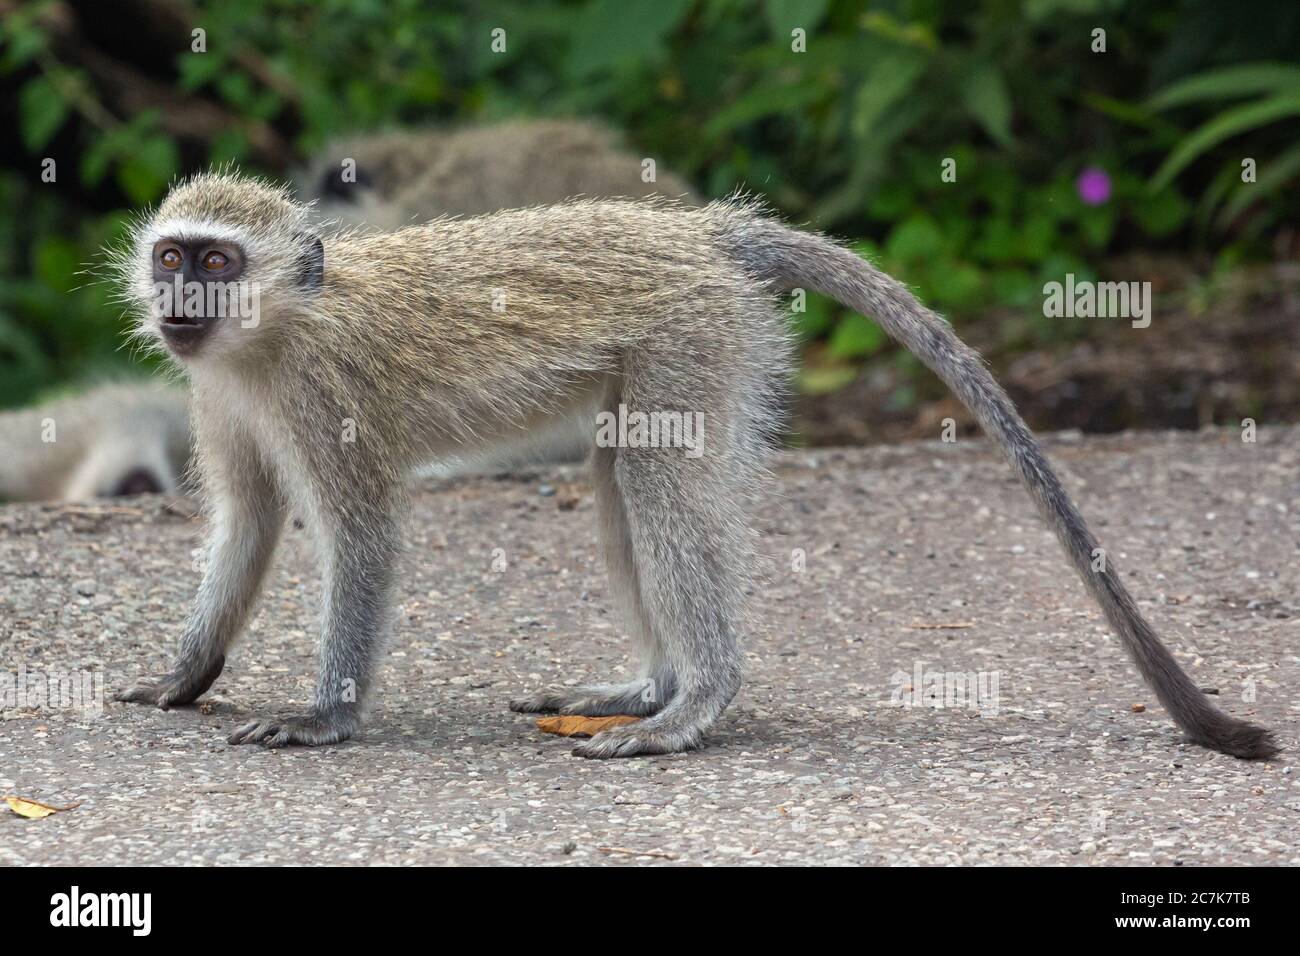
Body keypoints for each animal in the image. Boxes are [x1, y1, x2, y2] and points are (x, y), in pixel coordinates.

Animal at [110, 171, 1275, 761]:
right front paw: (183, 675)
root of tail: (704, 235)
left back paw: (695, 703)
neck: (271, 331)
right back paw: (650, 689)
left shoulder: (325, 395)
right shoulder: (216, 391)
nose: (182, 298)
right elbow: (249, 521)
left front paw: (327, 717)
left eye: (217, 260)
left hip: (693, 342)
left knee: (656, 482)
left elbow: (361, 539)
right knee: (624, 475)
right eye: (173, 257)